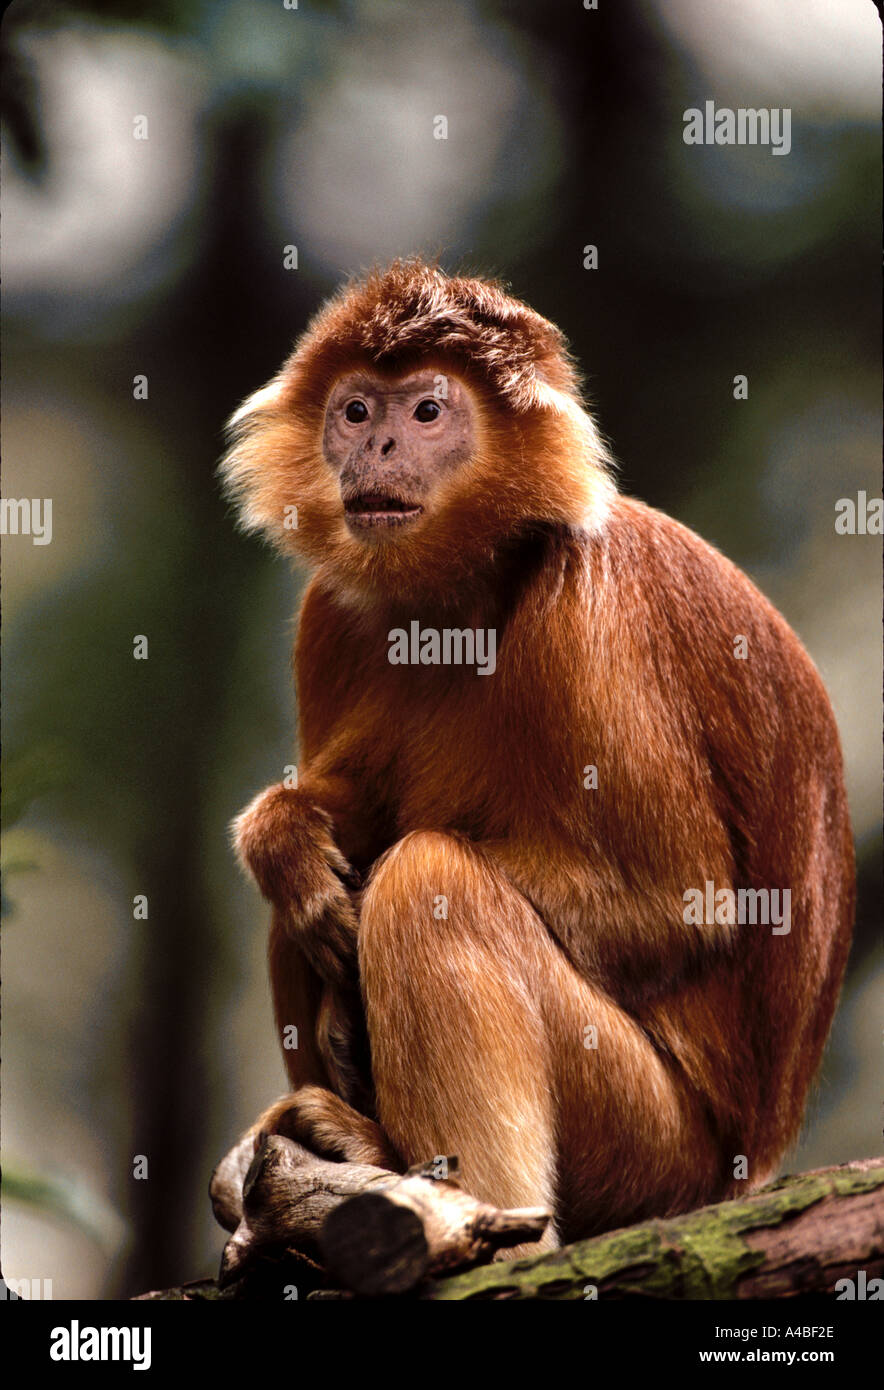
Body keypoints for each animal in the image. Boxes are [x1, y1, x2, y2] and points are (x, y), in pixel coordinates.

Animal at [219, 258, 854, 1249]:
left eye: (427, 412)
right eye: (355, 411)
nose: (377, 448)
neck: (462, 600)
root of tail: (742, 1170)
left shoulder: (586, 609)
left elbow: (678, 907)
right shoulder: (329, 616)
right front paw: (282, 837)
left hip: (651, 1146)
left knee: (431, 880)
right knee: (318, 906)